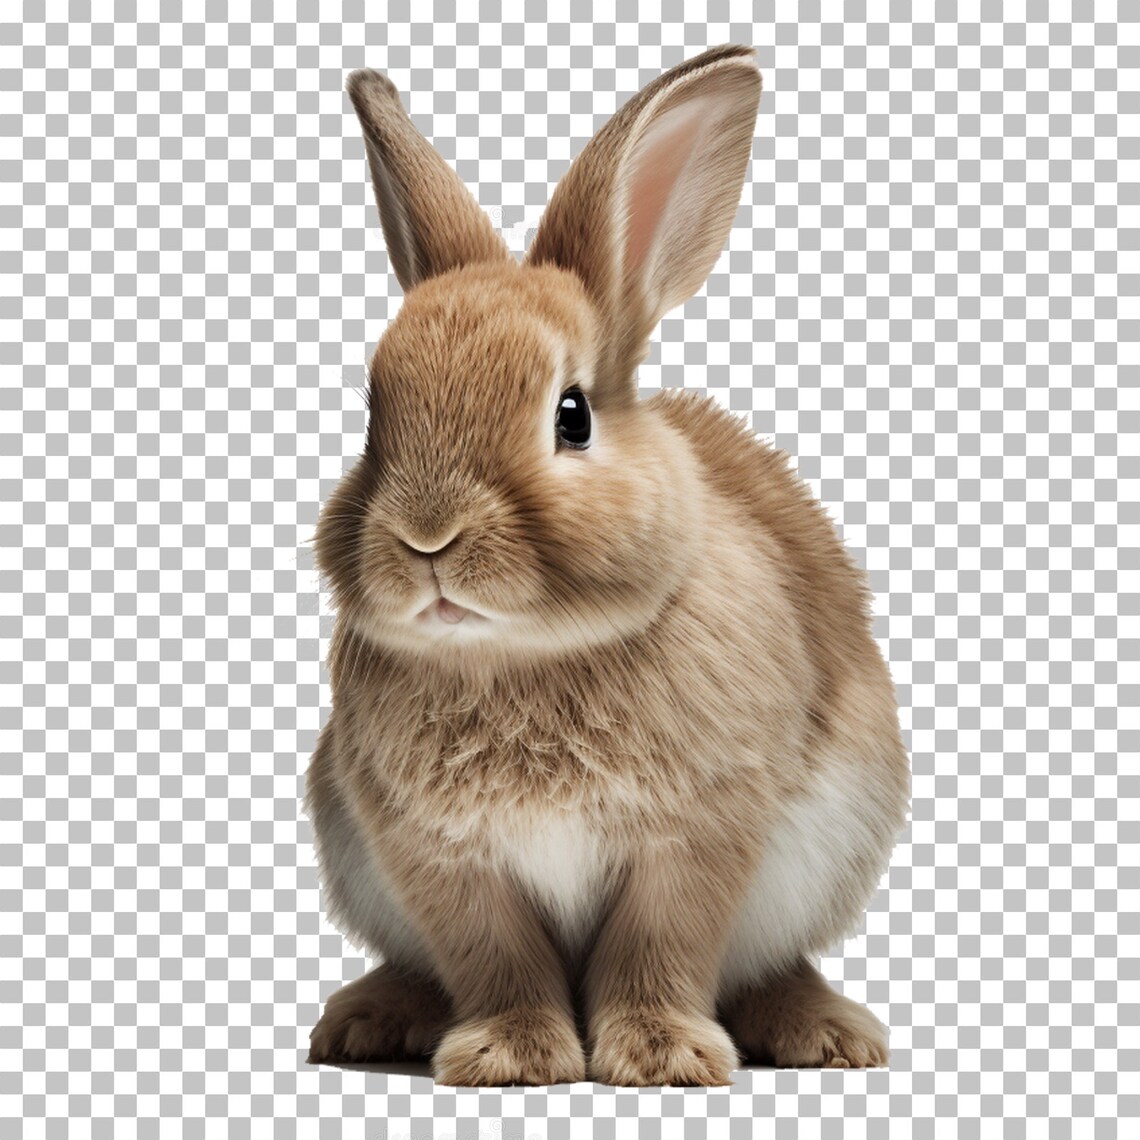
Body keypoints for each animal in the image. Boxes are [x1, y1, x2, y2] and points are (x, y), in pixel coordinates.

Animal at [304, 45, 911, 1087]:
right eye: (376, 417)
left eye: (572, 415)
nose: (426, 539)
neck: (523, 656)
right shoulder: (438, 857)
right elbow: (495, 958)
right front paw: (513, 1056)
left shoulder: (696, 837)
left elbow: (657, 946)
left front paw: (662, 1056)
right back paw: (369, 1020)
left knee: (772, 964)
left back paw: (827, 1035)